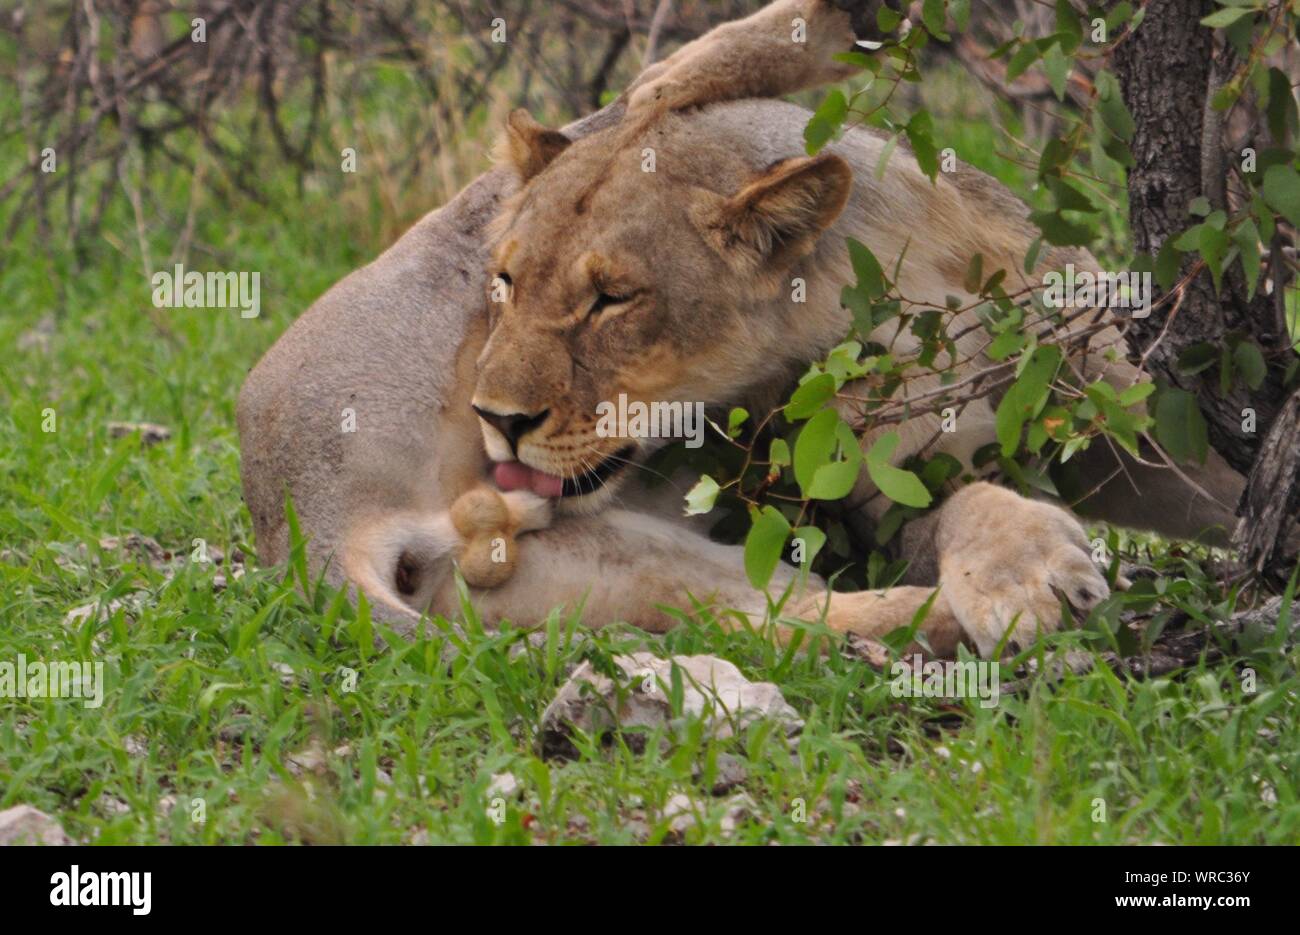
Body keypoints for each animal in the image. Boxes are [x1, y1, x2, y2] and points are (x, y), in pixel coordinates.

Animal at [237, 0, 1245, 658]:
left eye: (613, 300)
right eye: (505, 283)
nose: (502, 421)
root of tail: (301, 513)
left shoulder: (1122, 398)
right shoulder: (875, 501)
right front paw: (1025, 569)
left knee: (770, 609)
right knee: (777, 616)